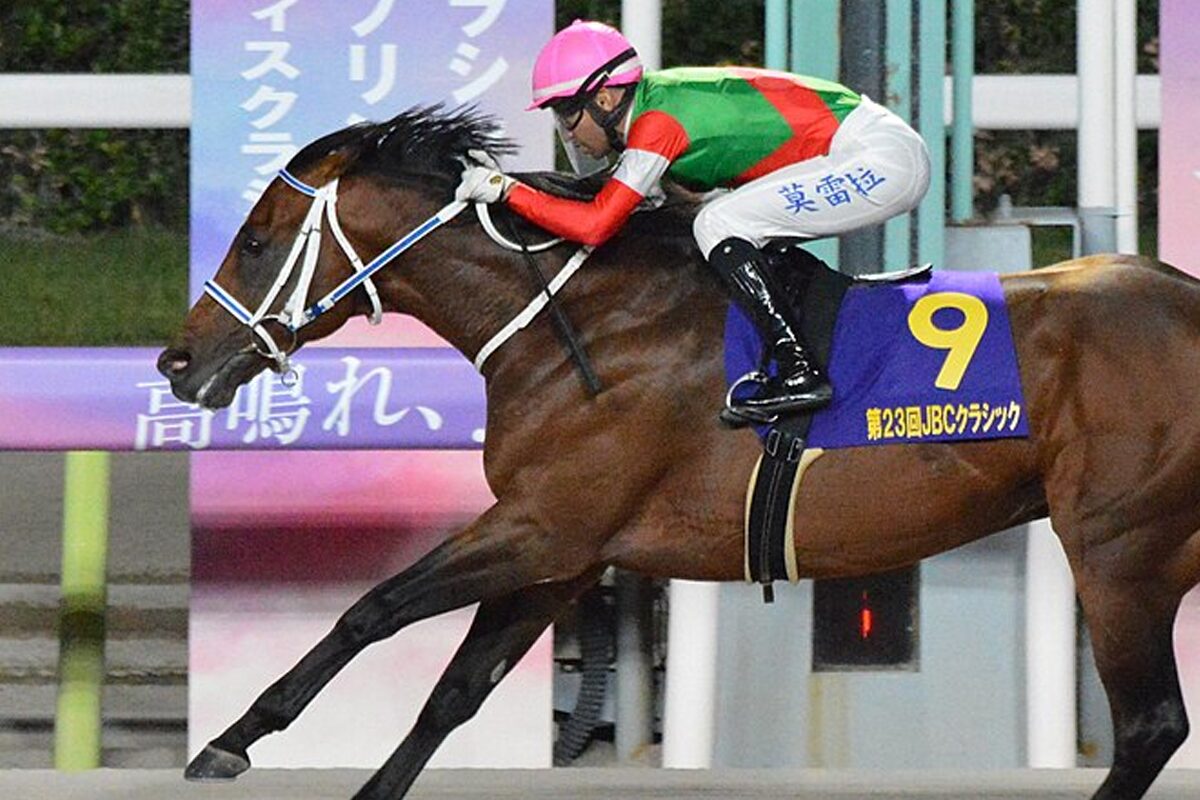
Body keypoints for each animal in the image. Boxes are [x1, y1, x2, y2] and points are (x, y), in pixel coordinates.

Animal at [158, 106, 1200, 800]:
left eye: (256, 242)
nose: (177, 362)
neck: (576, 325)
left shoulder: (544, 525)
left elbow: (370, 610)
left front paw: (231, 741)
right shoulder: (567, 554)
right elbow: (455, 691)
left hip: (1117, 547)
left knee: (1150, 725)